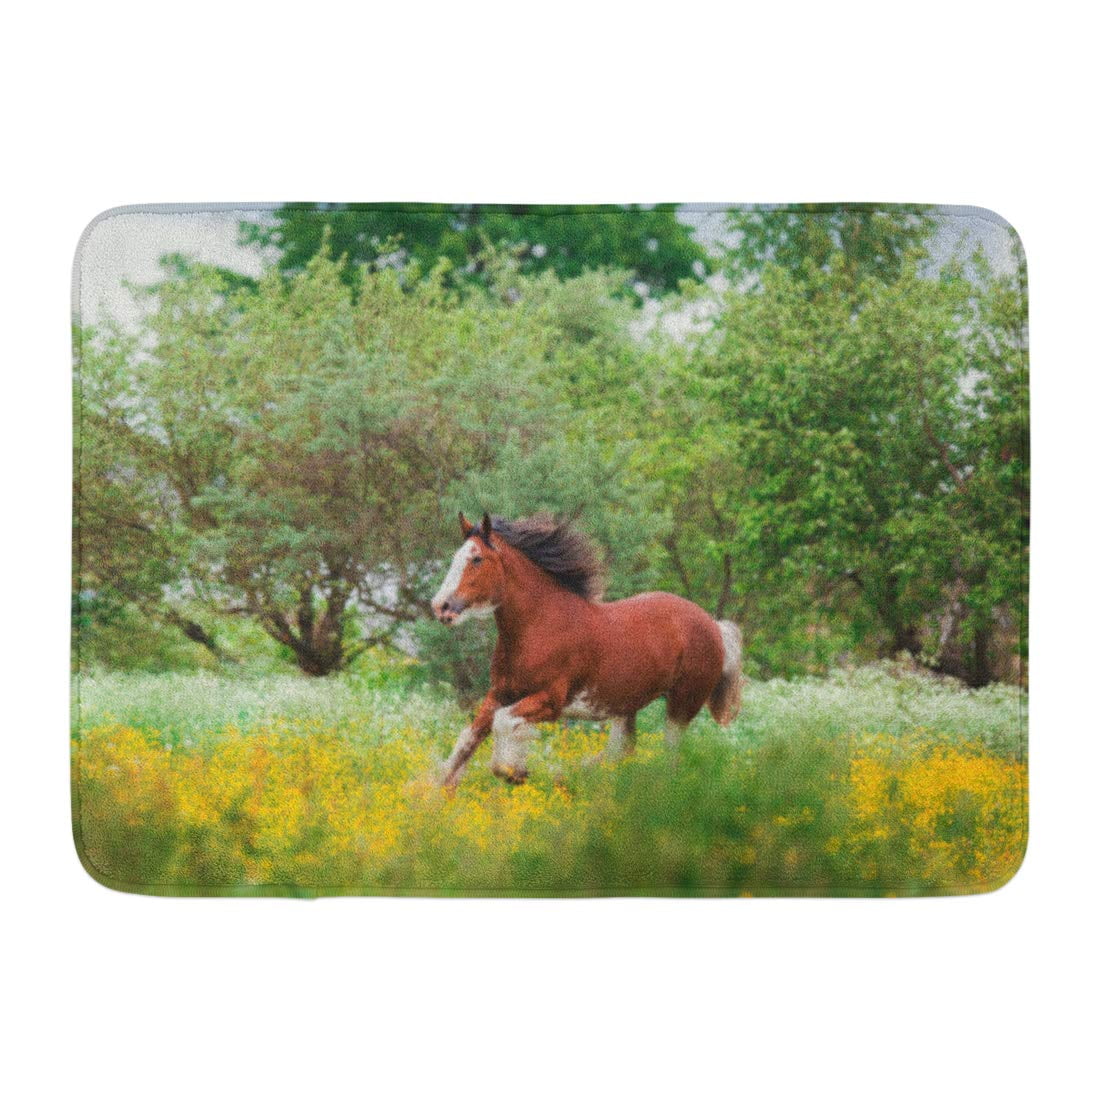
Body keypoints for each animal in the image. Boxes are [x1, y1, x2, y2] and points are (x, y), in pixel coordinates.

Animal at [431, 512, 743, 790]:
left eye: (476, 559)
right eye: (455, 557)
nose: (440, 607)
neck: (539, 626)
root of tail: (714, 625)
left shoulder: (551, 701)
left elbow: (504, 722)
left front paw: (513, 770)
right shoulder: (500, 693)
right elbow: (466, 741)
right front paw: (438, 795)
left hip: (681, 704)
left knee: (669, 758)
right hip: (625, 706)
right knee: (622, 751)